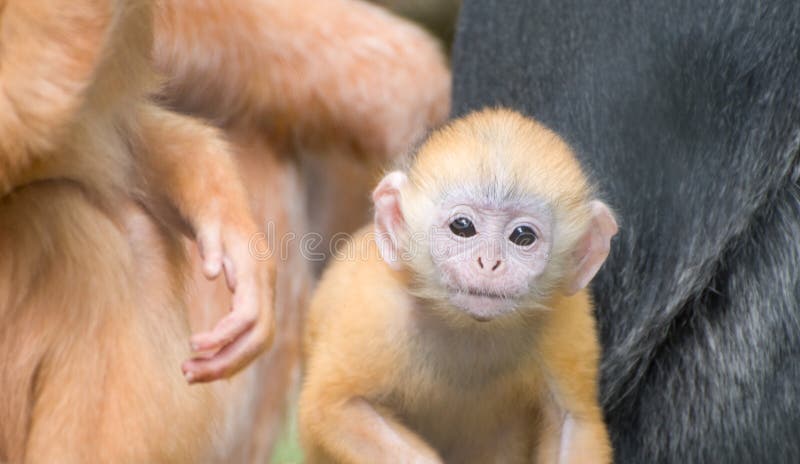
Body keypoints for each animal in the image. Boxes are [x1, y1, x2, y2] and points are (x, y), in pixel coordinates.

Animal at [298, 108, 616, 464]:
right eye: (462, 227)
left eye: (523, 237)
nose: (489, 263)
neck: (468, 328)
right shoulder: (377, 308)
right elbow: (333, 408)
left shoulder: (565, 318)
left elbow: (571, 424)